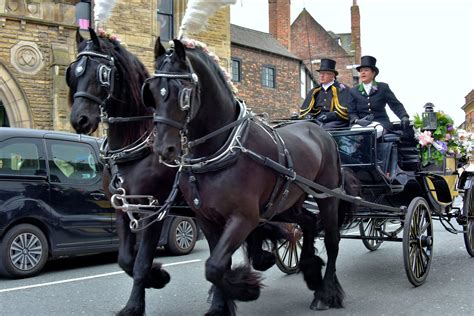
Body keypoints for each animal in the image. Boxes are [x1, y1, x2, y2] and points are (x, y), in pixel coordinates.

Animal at [144, 38, 356, 314]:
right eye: (151, 91)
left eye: (183, 92)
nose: (164, 149)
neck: (222, 149)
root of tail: (319, 129)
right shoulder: (206, 219)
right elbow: (216, 264)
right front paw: (221, 305)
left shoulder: (243, 217)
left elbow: (214, 267)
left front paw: (246, 289)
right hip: (286, 203)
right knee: (308, 222)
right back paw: (311, 270)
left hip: (327, 197)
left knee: (332, 242)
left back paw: (325, 292)